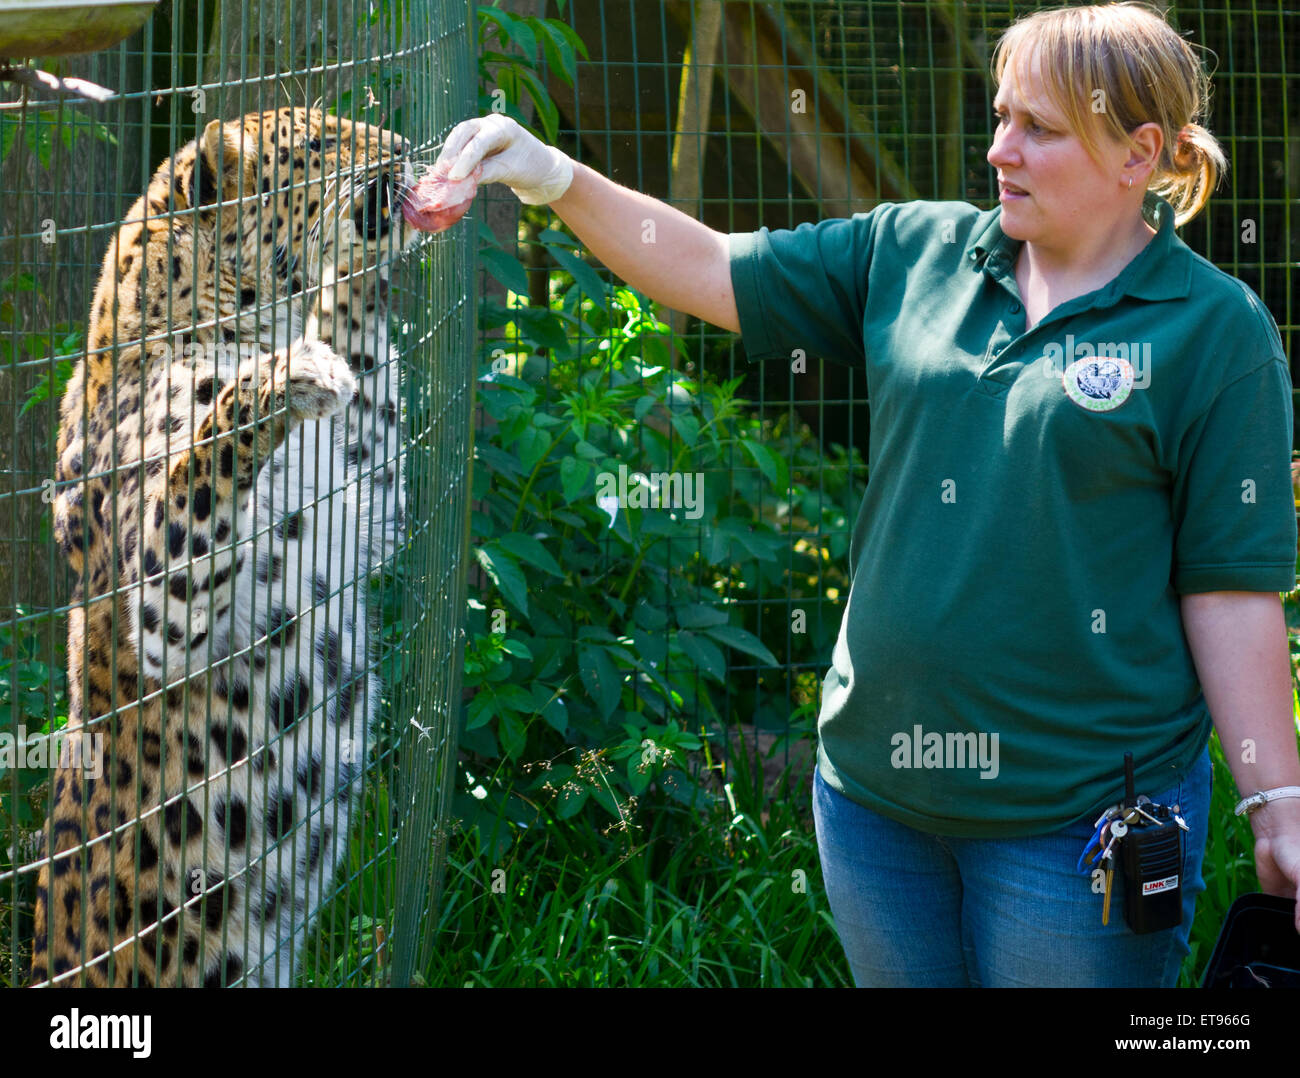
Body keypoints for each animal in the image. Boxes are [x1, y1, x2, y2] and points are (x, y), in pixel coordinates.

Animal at [29, 107, 423, 986]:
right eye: (321, 144)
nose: (400, 148)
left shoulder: (366, 497)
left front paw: (355, 279)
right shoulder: (162, 613)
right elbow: (209, 445)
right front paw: (282, 377)